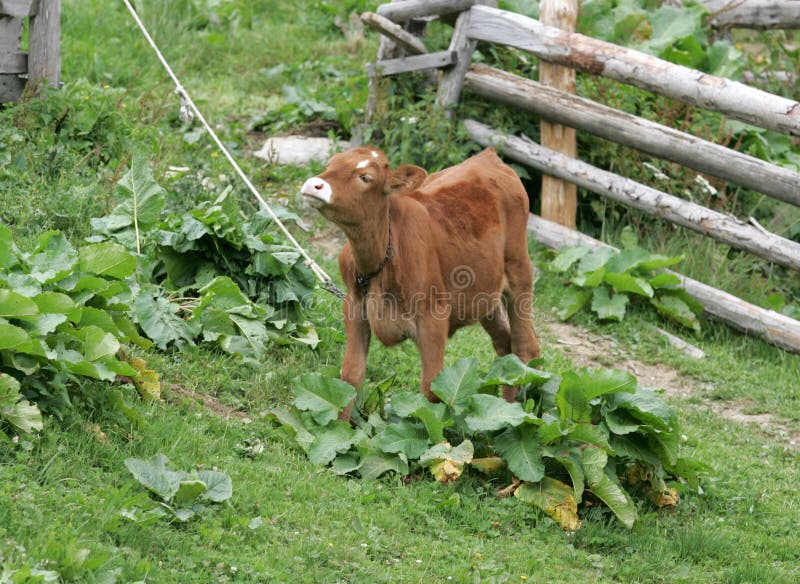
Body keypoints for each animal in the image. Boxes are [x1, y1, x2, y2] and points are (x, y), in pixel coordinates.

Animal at [301, 147, 540, 421]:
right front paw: (341, 428)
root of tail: (488, 156)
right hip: (484, 293)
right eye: (331, 164)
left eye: (365, 177)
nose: (313, 184)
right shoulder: (354, 306)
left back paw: (513, 416)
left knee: (525, 348)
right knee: (504, 344)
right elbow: (351, 375)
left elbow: (430, 390)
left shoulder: (434, 318)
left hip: (519, 270)